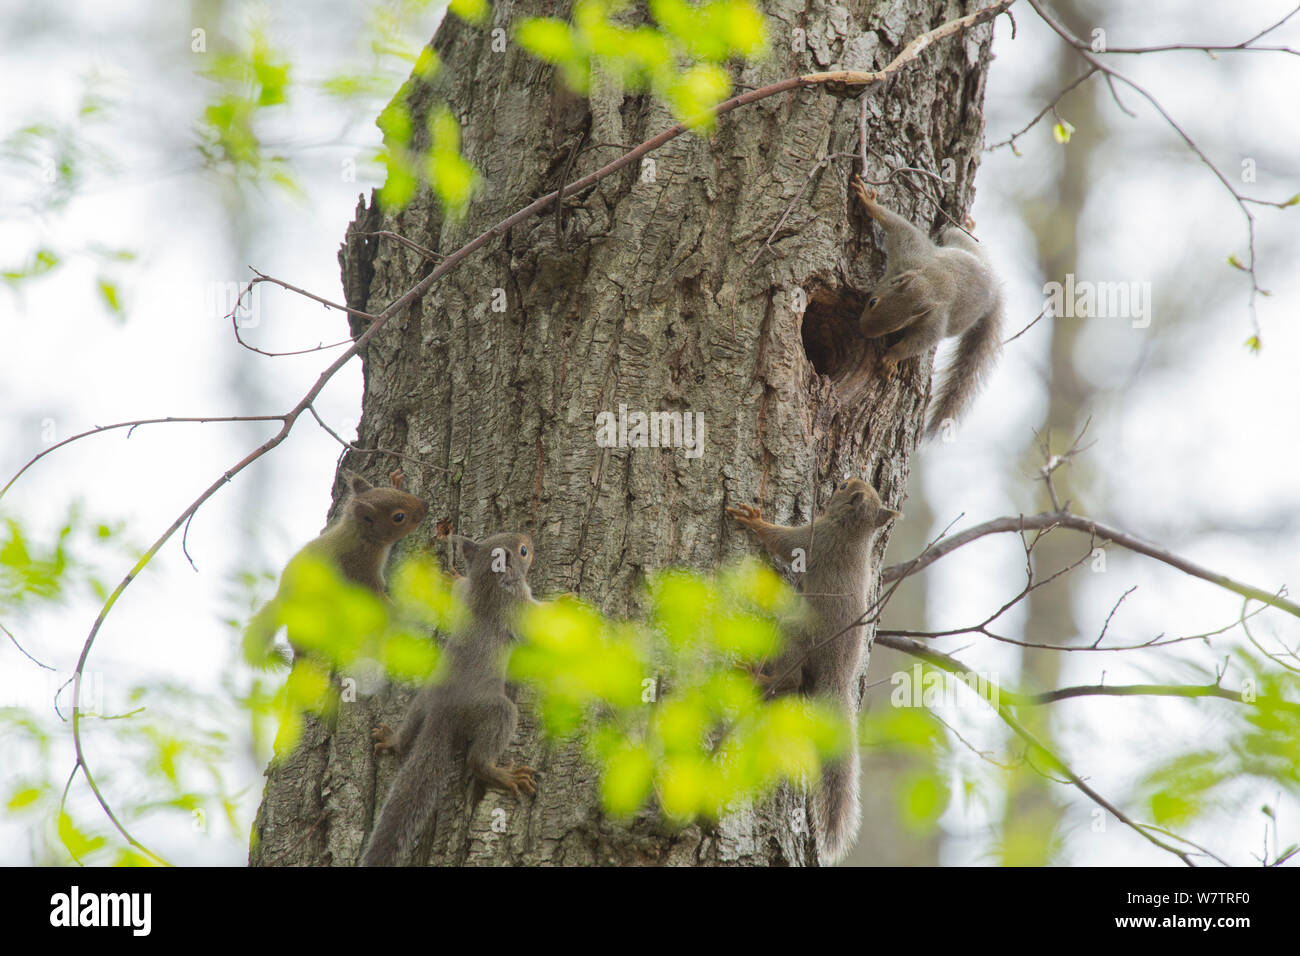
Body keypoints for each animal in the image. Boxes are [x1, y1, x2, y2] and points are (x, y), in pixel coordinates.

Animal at [242, 469, 428, 668]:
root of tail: (281, 600)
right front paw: (398, 611)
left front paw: (396, 480)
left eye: (396, 492)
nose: (425, 506)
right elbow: (375, 594)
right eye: (399, 517)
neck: (361, 536)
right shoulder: (361, 568)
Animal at [359, 531, 538, 867]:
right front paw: (566, 601)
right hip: (495, 711)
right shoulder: (516, 605)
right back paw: (504, 775)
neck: (486, 583)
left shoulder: (468, 594)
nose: (530, 539)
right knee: (477, 759)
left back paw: (391, 739)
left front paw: (452, 576)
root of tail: (443, 716)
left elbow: (457, 592)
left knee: (408, 732)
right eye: (523, 551)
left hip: (423, 701)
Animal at [727, 478, 900, 865]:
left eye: (844, 486)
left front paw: (753, 519)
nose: (842, 479)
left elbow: (782, 541)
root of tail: (838, 676)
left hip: (792, 633)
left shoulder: (813, 538)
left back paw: (758, 676)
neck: (853, 531)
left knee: (789, 680)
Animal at [851, 177, 1003, 439]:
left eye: (896, 327)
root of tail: (993, 289)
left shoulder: (934, 320)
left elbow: (921, 341)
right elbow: (897, 224)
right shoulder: (909, 250)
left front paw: (891, 358)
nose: (862, 331)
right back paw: (969, 225)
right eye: (872, 302)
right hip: (958, 240)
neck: (931, 284)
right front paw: (869, 202)